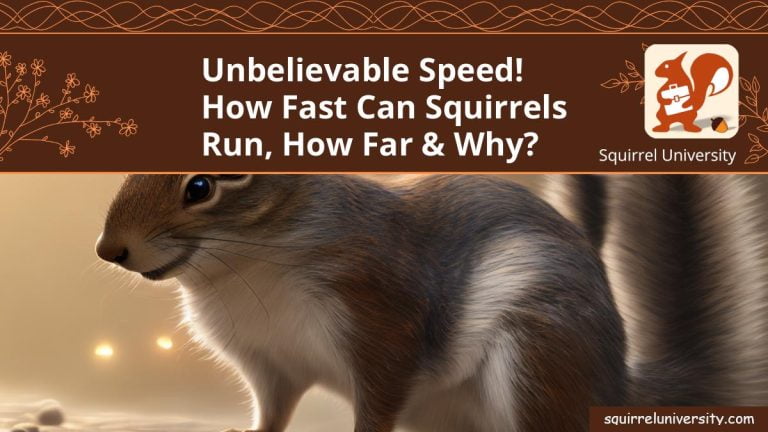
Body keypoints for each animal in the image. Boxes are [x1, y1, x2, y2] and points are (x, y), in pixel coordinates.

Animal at [96, 174, 767, 431]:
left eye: (202, 186)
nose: (109, 250)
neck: (246, 270)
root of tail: (613, 388)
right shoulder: (272, 365)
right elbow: (272, 412)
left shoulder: (380, 318)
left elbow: (380, 398)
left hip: (538, 357)